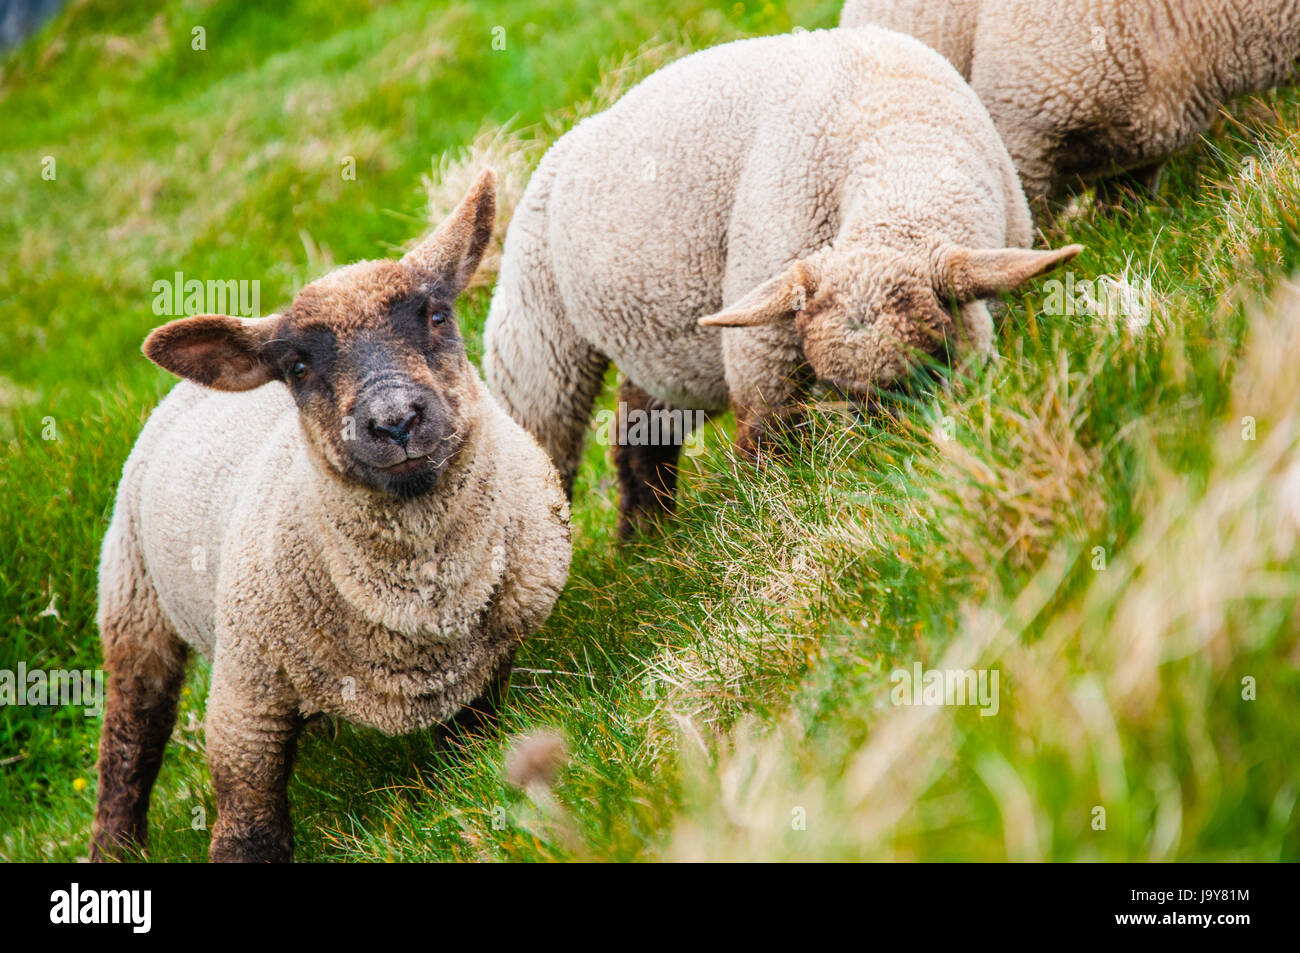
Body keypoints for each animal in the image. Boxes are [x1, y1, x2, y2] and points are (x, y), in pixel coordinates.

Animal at [91, 170, 571, 863]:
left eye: (436, 314)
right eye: (296, 366)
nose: (394, 422)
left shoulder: (484, 666)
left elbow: (474, 742)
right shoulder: (246, 703)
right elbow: (249, 828)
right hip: (133, 600)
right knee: (128, 743)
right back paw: (116, 848)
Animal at [482, 27, 1081, 537]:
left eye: (936, 356)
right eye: (835, 386)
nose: (887, 458)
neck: (899, 136)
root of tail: (566, 142)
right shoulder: (764, 332)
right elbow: (763, 431)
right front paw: (761, 509)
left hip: (667, 348)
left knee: (639, 431)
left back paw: (646, 542)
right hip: (534, 348)